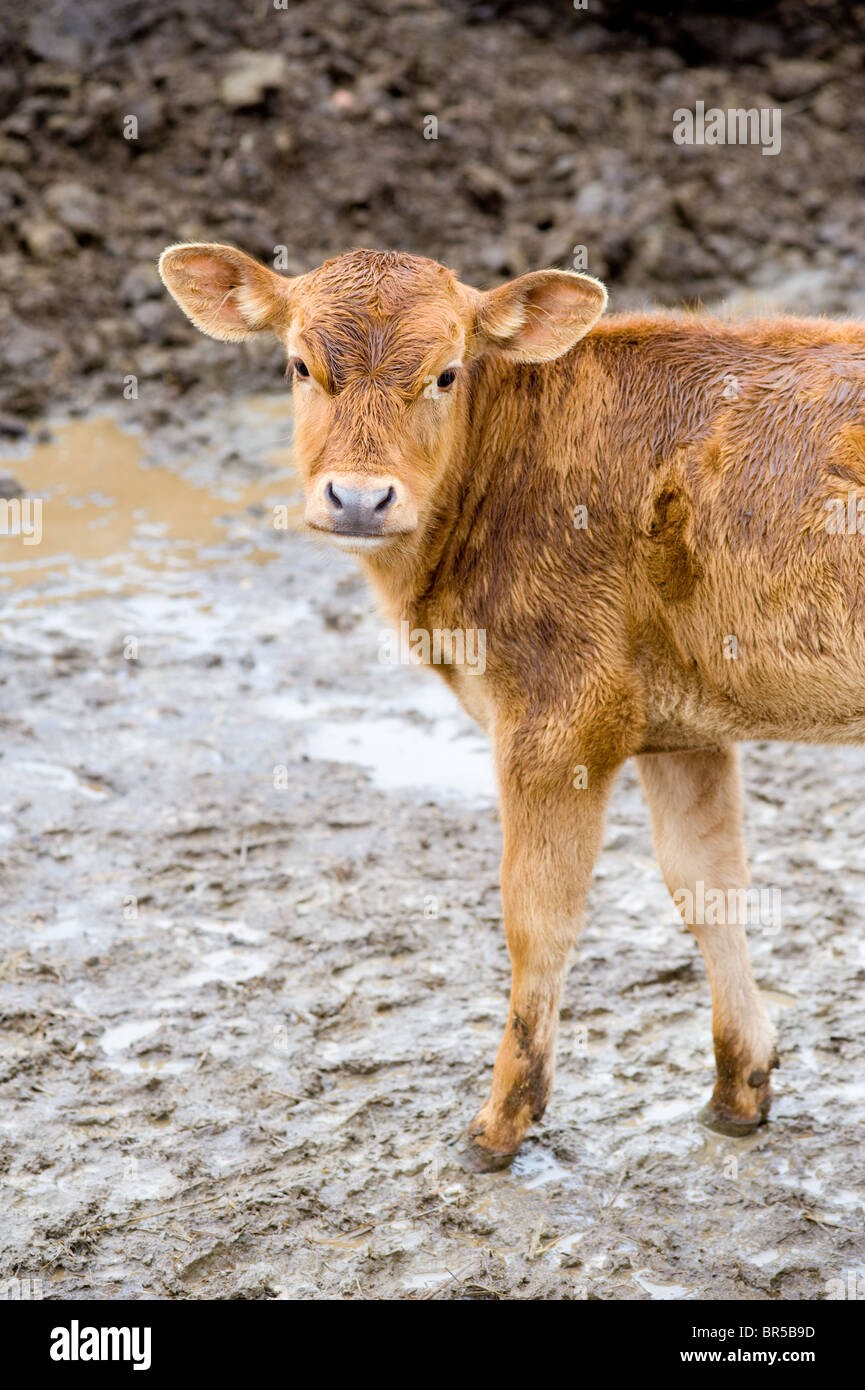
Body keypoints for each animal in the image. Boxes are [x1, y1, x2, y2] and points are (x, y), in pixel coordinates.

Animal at [159, 240, 865, 1168]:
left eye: (446, 373)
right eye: (299, 366)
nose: (358, 498)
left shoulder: (558, 717)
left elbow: (536, 915)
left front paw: (501, 1120)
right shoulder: (681, 727)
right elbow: (706, 886)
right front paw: (738, 1089)